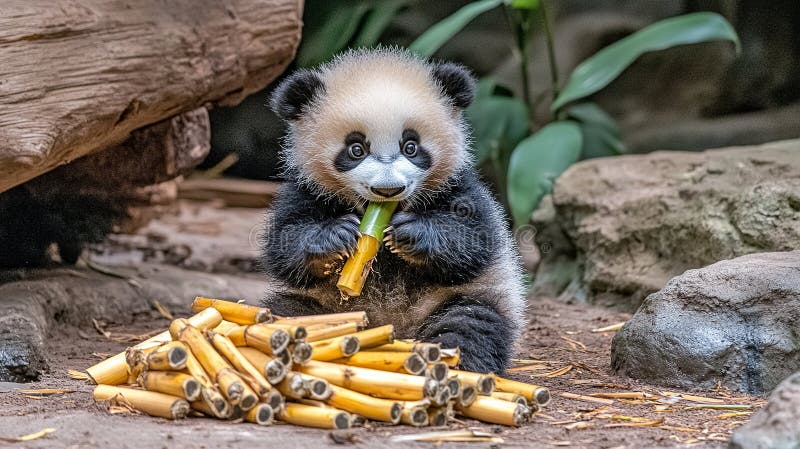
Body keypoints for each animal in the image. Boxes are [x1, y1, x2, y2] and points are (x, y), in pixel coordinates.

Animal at [260, 48, 526, 373]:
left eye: (411, 147)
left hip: (461, 298)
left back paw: (449, 365)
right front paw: (335, 236)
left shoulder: (462, 188)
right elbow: (285, 243)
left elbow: (474, 239)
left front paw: (412, 234)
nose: (388, 190)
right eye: (356, 149)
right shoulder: (304, 191)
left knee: (470, 325)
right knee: (286, 315)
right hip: (325, 307)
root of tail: (393, 329)